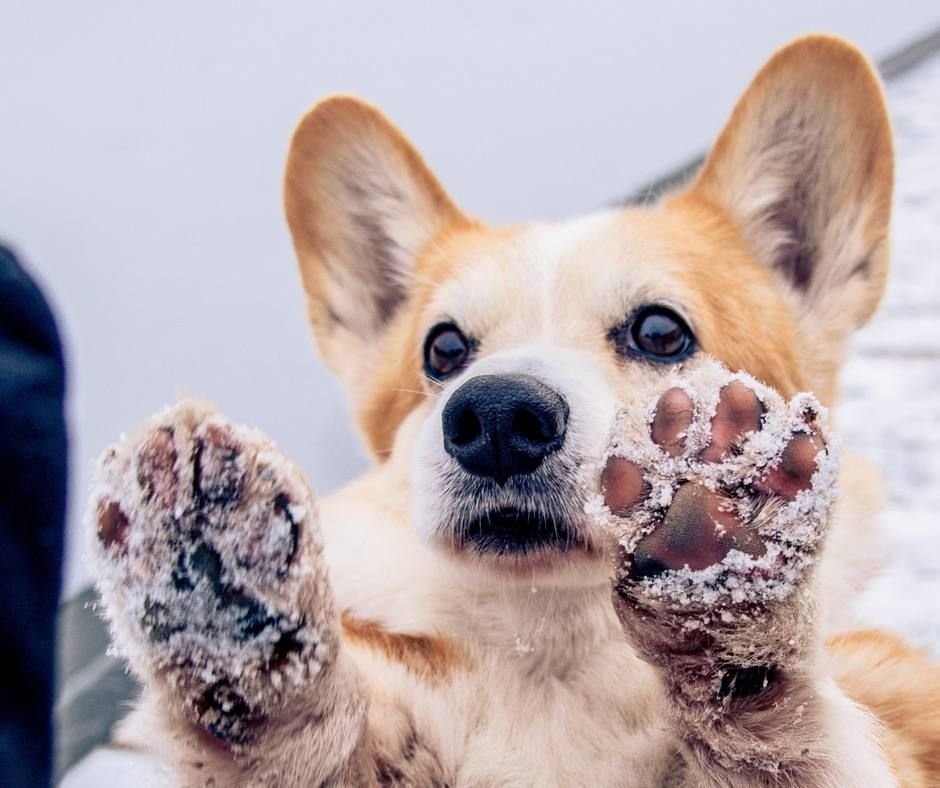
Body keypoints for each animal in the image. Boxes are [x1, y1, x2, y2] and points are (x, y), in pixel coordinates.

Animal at [90, 37, 940, 788]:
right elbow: (316, 740)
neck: (554, 660)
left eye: (660, 331)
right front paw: (222, 581)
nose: (497, 417)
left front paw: (722, 561)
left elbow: (791, 736)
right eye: (443, 349)